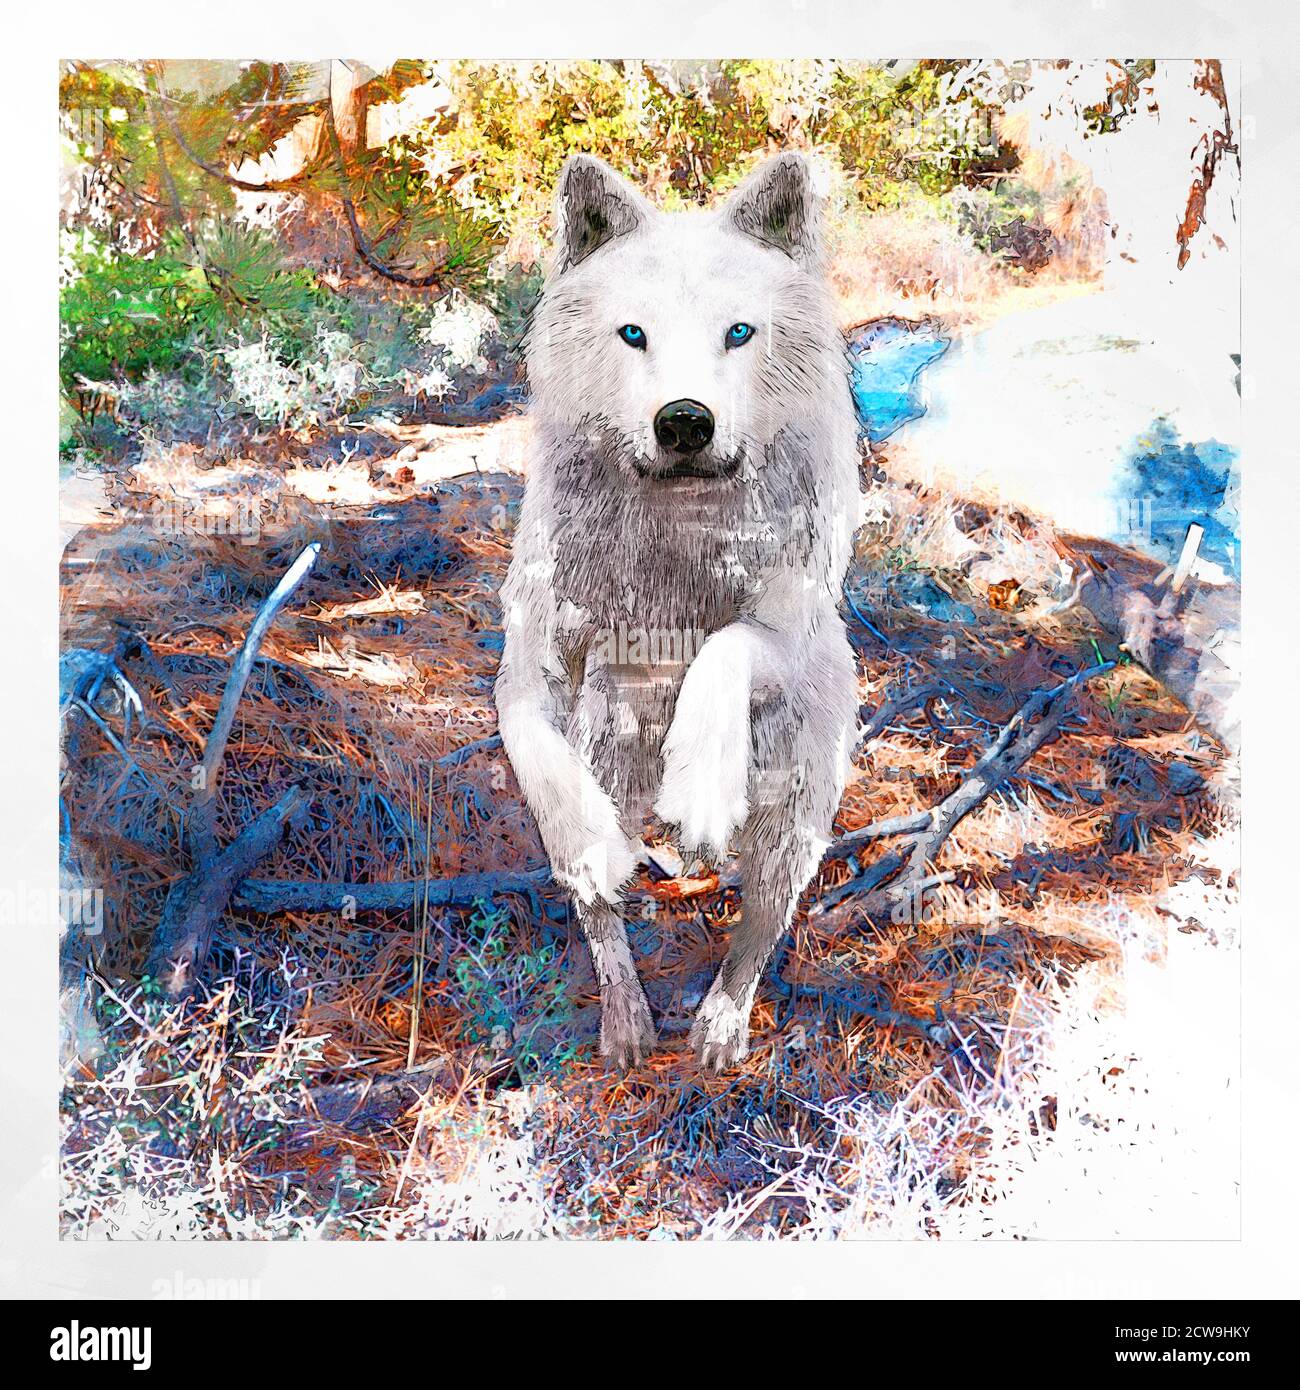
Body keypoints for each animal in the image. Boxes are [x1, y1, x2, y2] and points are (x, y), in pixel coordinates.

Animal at [495, 151, 861, 1070]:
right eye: (635, 335)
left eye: (739, 333)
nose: (686, 422)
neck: (677, 533)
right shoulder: (530, 664)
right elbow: (533, 749)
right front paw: (597, 846)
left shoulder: (788, 631)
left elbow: (725, 646)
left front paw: (699, 784)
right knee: (604, 922)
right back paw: (627, 1021)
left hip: (792, 820)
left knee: (756, 934)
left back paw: (719, 1027)